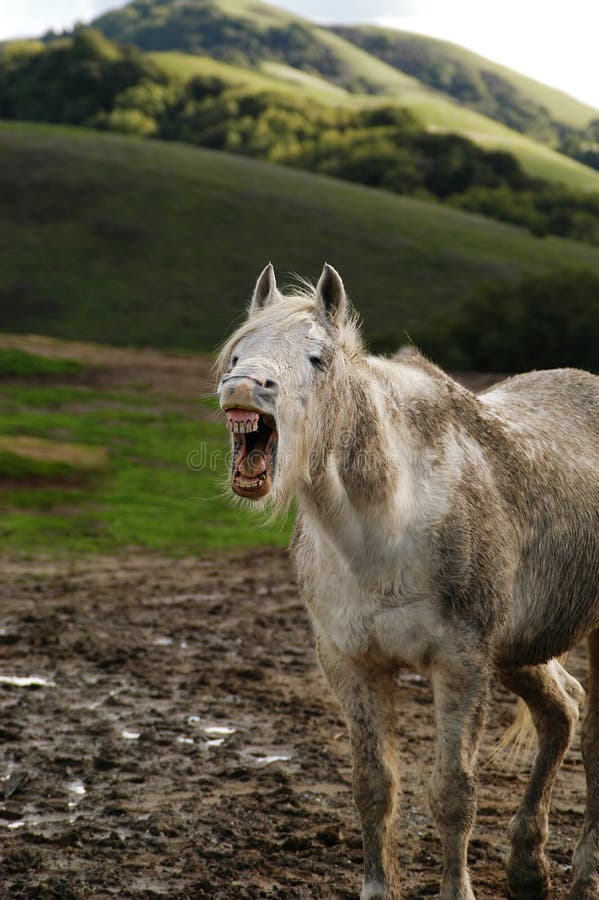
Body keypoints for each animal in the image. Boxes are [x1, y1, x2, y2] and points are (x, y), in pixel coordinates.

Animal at [216, 263, 599, 900]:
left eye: (317, 358)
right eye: (237, 353)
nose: (244, 387)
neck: (387, 523)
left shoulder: (461, 662)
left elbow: (453, 795)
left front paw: (457, 889)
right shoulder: (351, 663)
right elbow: (374, 787)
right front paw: (377, 887)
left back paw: (584, 875)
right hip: (519, 648)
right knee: (562, 711)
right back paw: (527, 868)